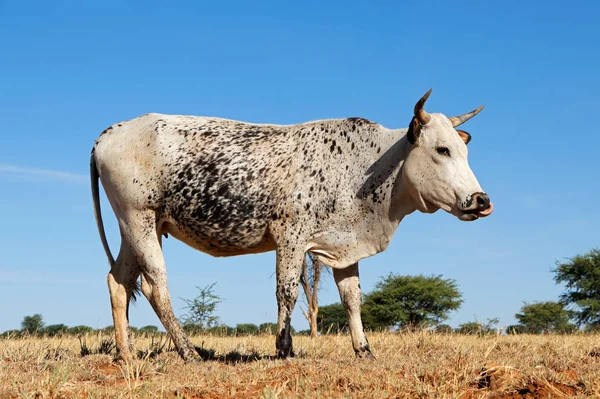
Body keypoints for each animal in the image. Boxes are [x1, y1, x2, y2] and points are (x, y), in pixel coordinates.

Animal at [89, 90, 492, 362]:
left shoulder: (344, 246)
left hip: (138, 227)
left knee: (119, 281)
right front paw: (284, 348)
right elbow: (287, 293)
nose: (481, 200)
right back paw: (189, 352)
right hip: (139, 219)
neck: (370, 167)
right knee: (155, 286)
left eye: (464, 150)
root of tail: (110, 132)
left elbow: (352, 298)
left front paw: (363, 349)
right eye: (442, 150)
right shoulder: (291, 237)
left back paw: (125, 354)